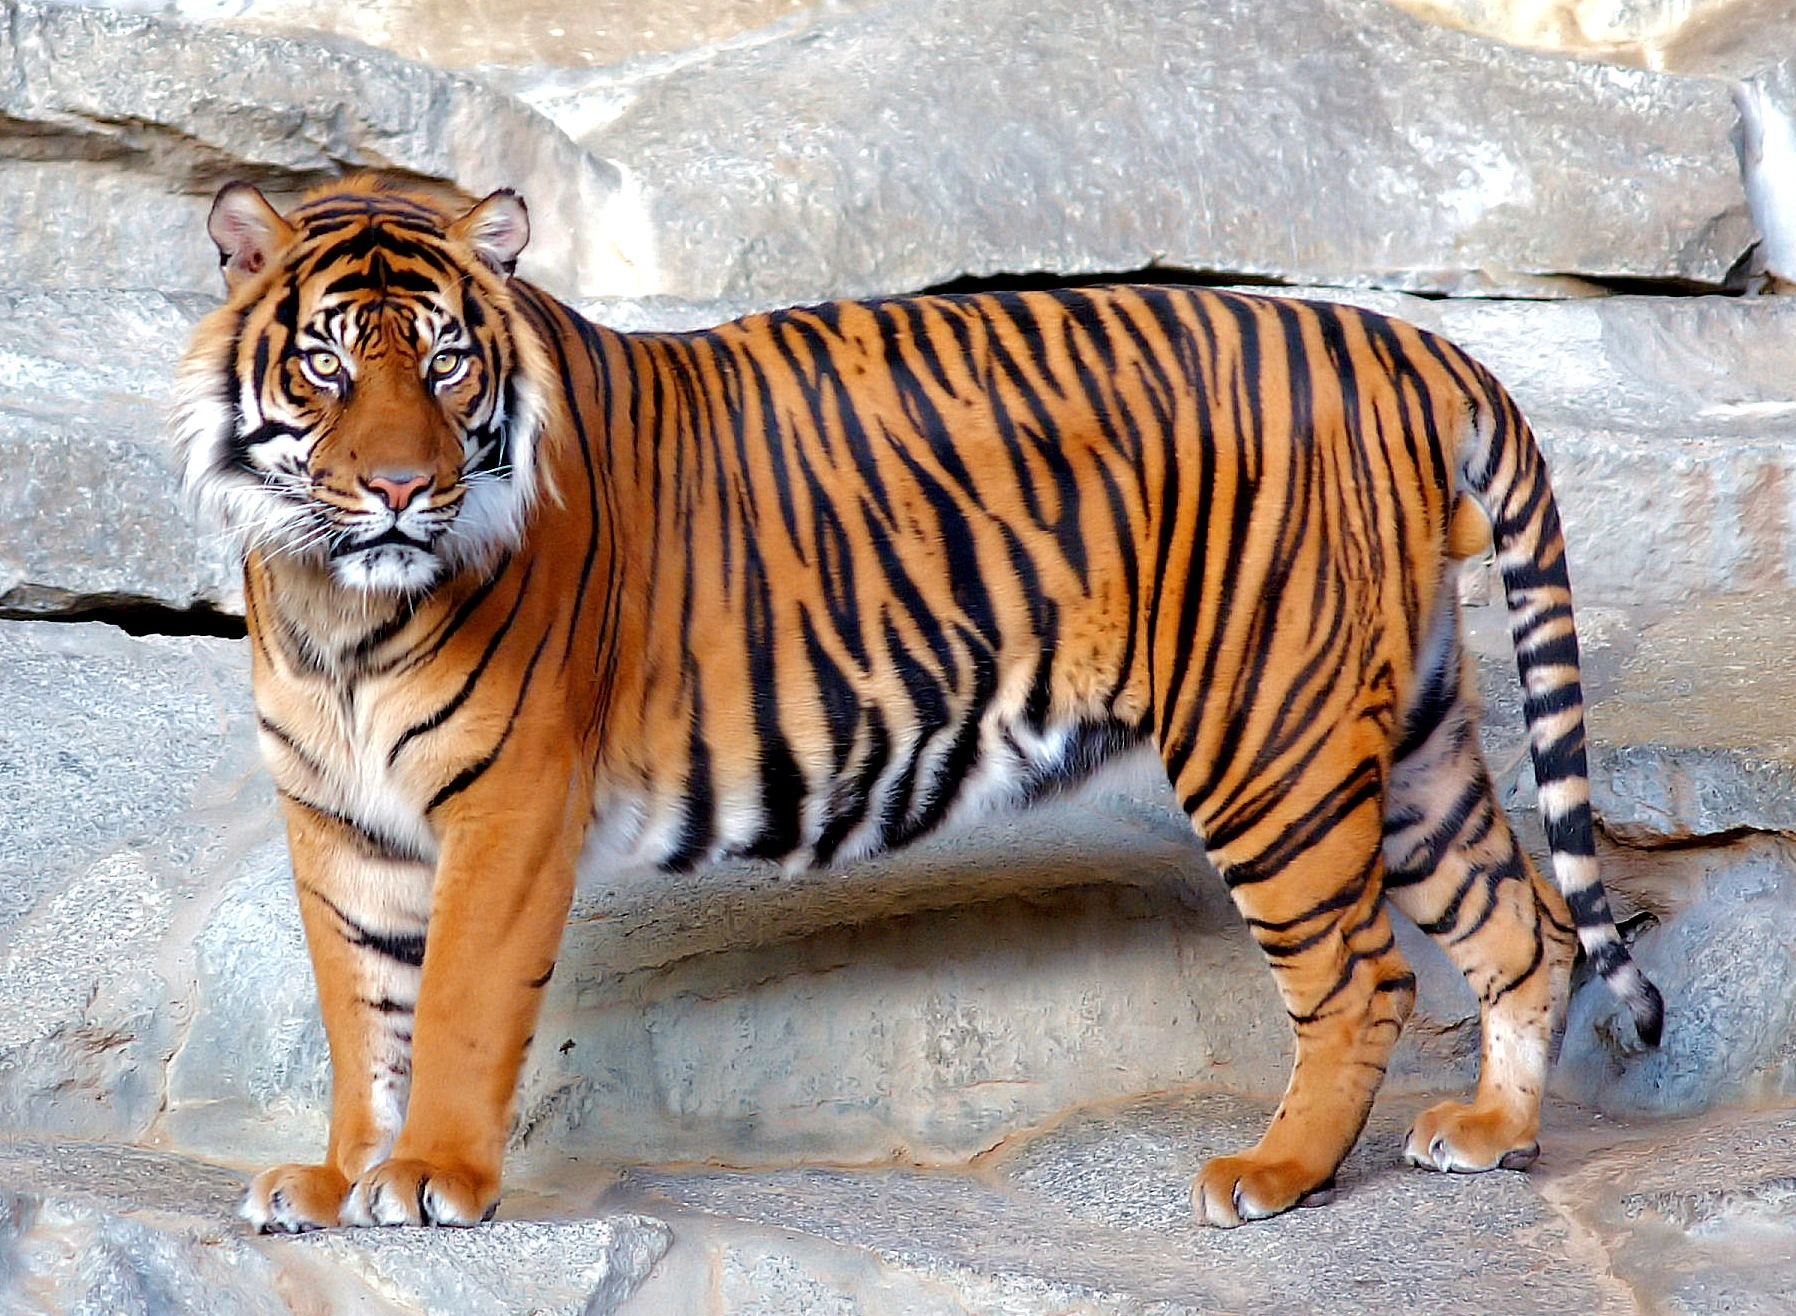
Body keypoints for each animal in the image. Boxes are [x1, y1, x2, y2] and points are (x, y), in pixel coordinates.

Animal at [172, 173, 1661, 1233]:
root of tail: (1406, 341)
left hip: (1269, 741)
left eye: (446, 366)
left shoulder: (510, 803)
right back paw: (1490, 1135)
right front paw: (337, 1178)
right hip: (1404, 735)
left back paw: (1276, 1172)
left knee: (1362, 975)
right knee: (1523, 922)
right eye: (324, 366)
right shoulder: (340, 819)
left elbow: (458, 1006)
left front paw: (432, 1177)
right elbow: (364, 1013)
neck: (338, 606)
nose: (398, 489)